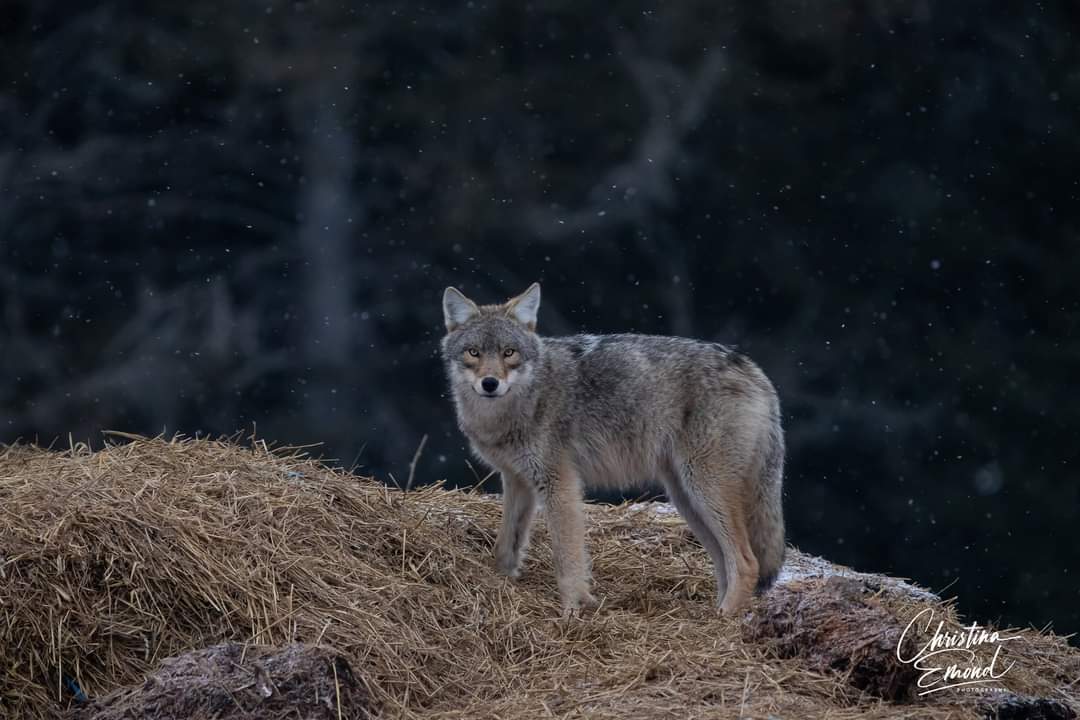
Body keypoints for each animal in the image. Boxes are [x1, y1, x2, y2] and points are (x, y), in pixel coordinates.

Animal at [440, 282, 785, 614]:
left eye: (509, 352)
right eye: (474, 352)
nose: (490, 383)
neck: (522, 403)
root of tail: (753, 369)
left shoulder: (559, 484)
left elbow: (567, 555)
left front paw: (573, 610)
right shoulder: (517, 481)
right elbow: (505, 546)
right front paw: (500, 581)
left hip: (704, 489)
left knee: (746, 562)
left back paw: (724, 618)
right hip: (687, 499)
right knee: (726, 562)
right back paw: (714, 616)